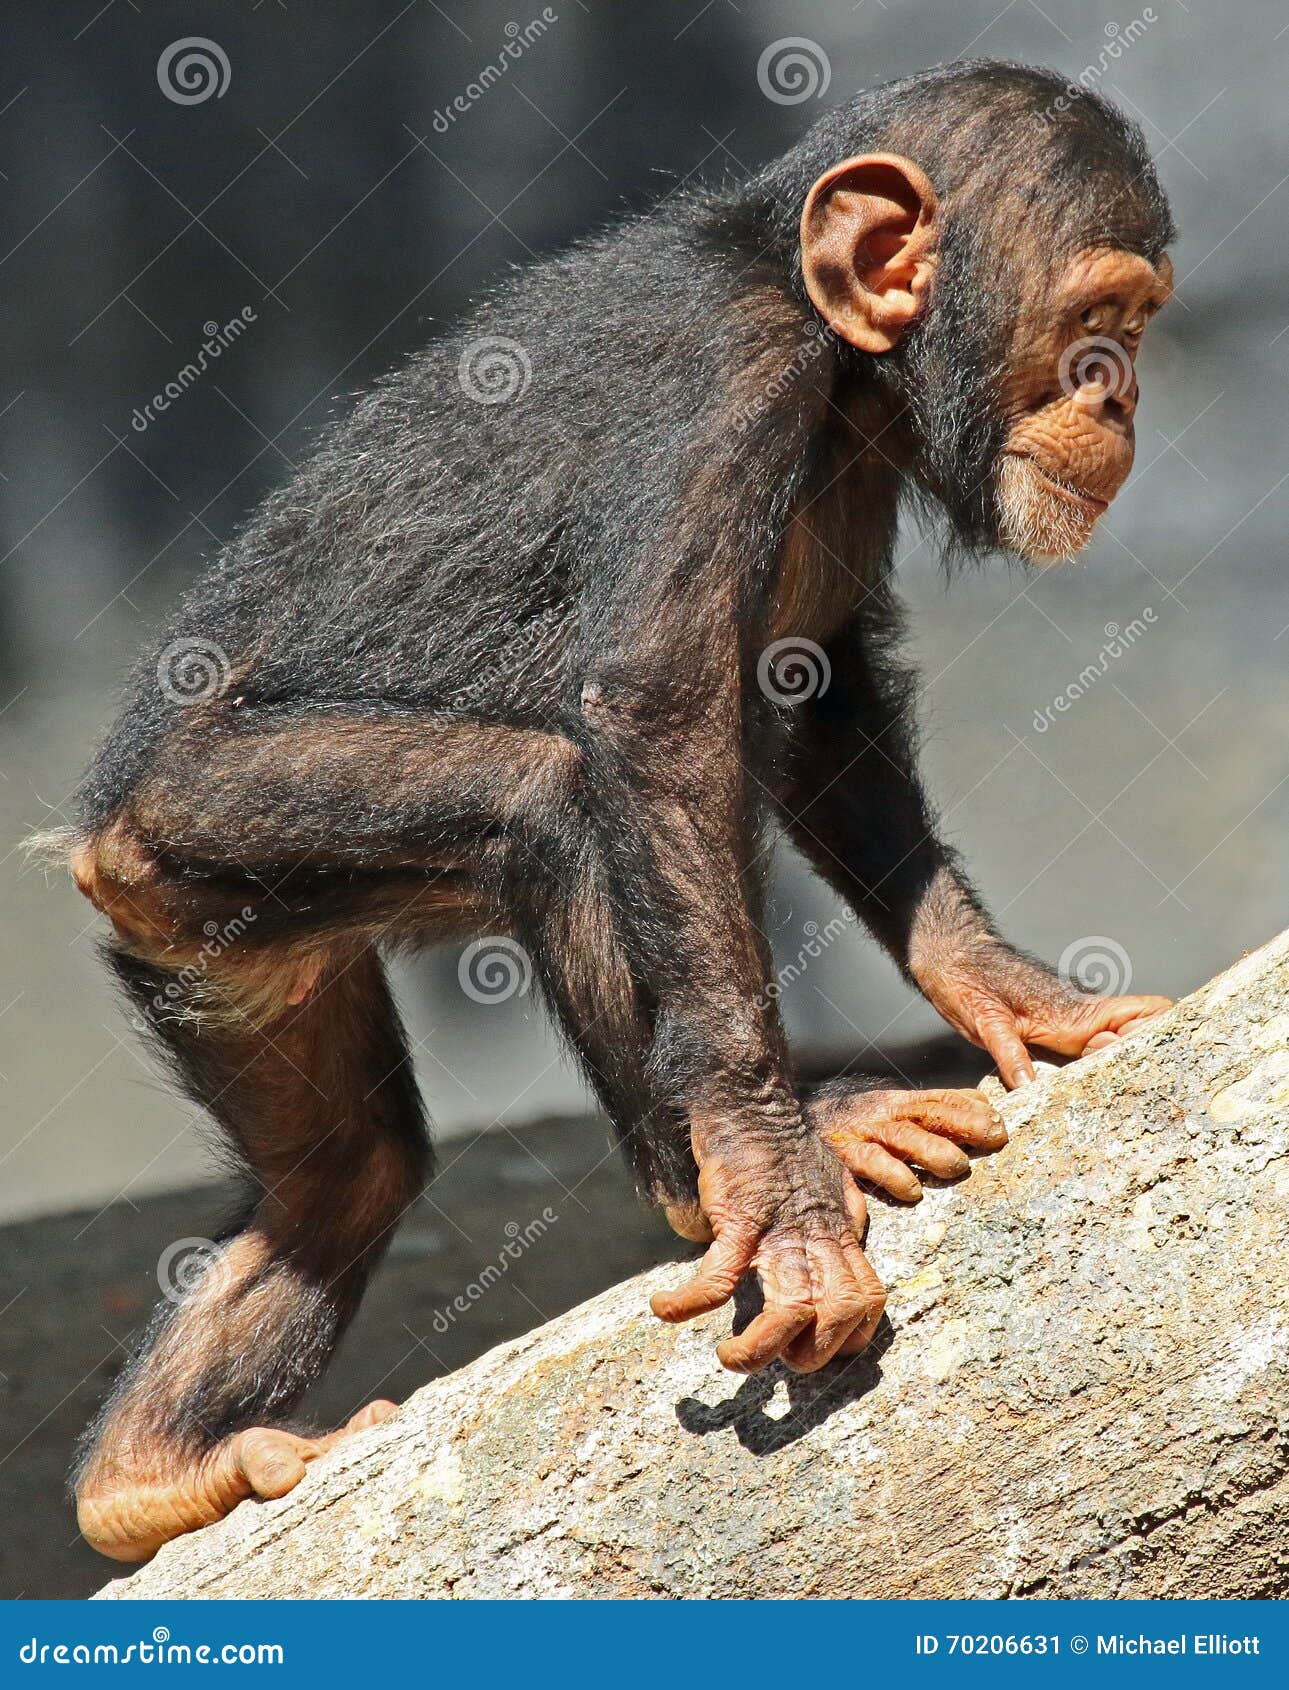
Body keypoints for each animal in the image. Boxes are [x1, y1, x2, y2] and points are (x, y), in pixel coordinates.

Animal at [46, 60, 1176, 1562]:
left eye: (1138, 328)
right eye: (1096, 321)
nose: (1120, 398)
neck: (831, 348)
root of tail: (100, 844)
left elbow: (819, 700)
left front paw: (1004, 984)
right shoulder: (731, 385)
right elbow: (655, 711)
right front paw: (773, 1176)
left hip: (222, 955)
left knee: (345, 1166)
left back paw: (153, 1474)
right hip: (208, 821)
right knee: (548, 801)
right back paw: (728, 1167)